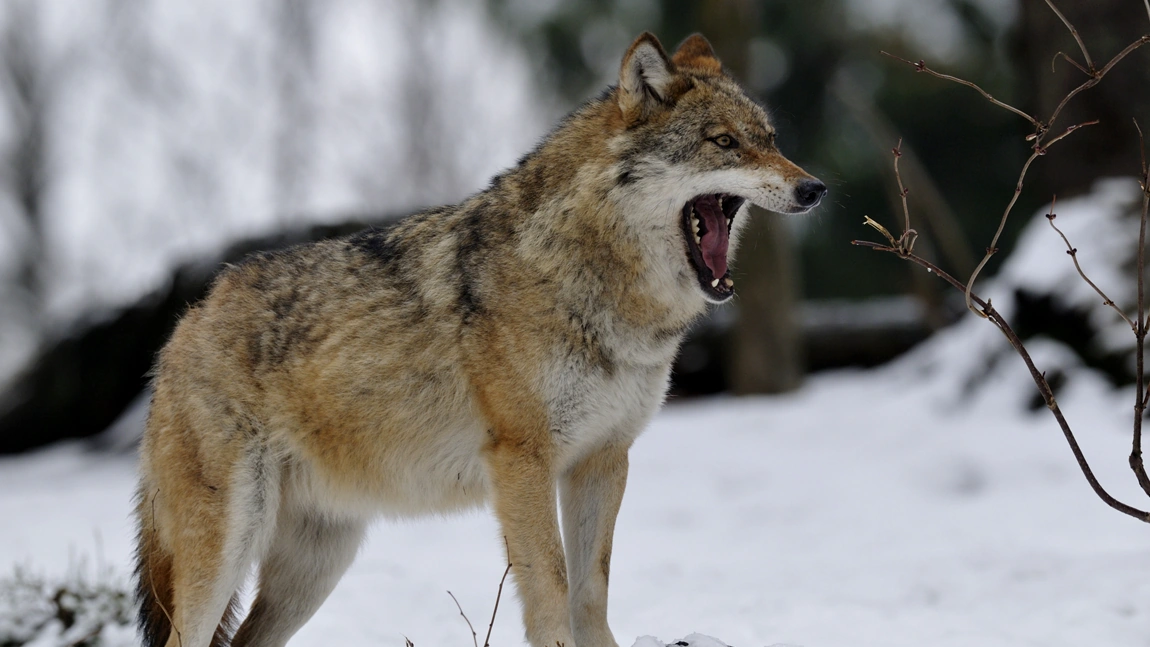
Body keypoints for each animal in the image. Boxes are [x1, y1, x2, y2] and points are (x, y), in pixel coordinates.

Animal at [134, 32, 825, 647]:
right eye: (724, 142)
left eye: (770, 141)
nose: (814, 188)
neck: (588, 279)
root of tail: (186, 322)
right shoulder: (522, 460)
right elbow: (550, 588)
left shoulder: (604, 459)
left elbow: (591, 592)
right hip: (229, 550)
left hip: (316, 567)